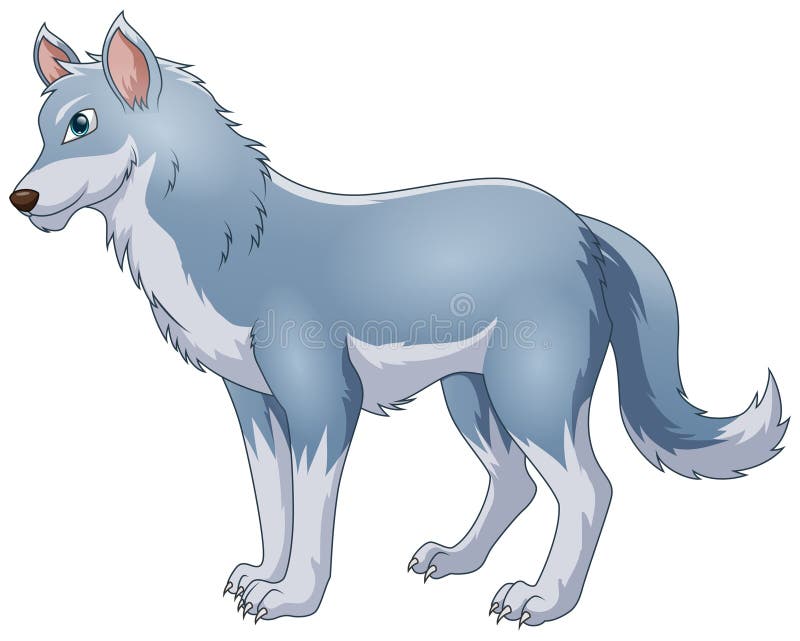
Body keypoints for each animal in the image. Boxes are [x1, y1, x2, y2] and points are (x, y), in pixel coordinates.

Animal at [10, 14, 788, 628]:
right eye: (43, 132)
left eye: (82, 127)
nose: (20, 198)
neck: (233, 246)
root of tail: (579, 222)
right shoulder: (254, 404)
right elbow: (274, 505)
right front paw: (262, 578)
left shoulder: (324, 404)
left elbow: (313, 517)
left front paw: (293, 600)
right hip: (471, 396)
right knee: (515, 482)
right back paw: (457, 560)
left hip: (529, 399)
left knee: (589, 489)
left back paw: (542, 601)